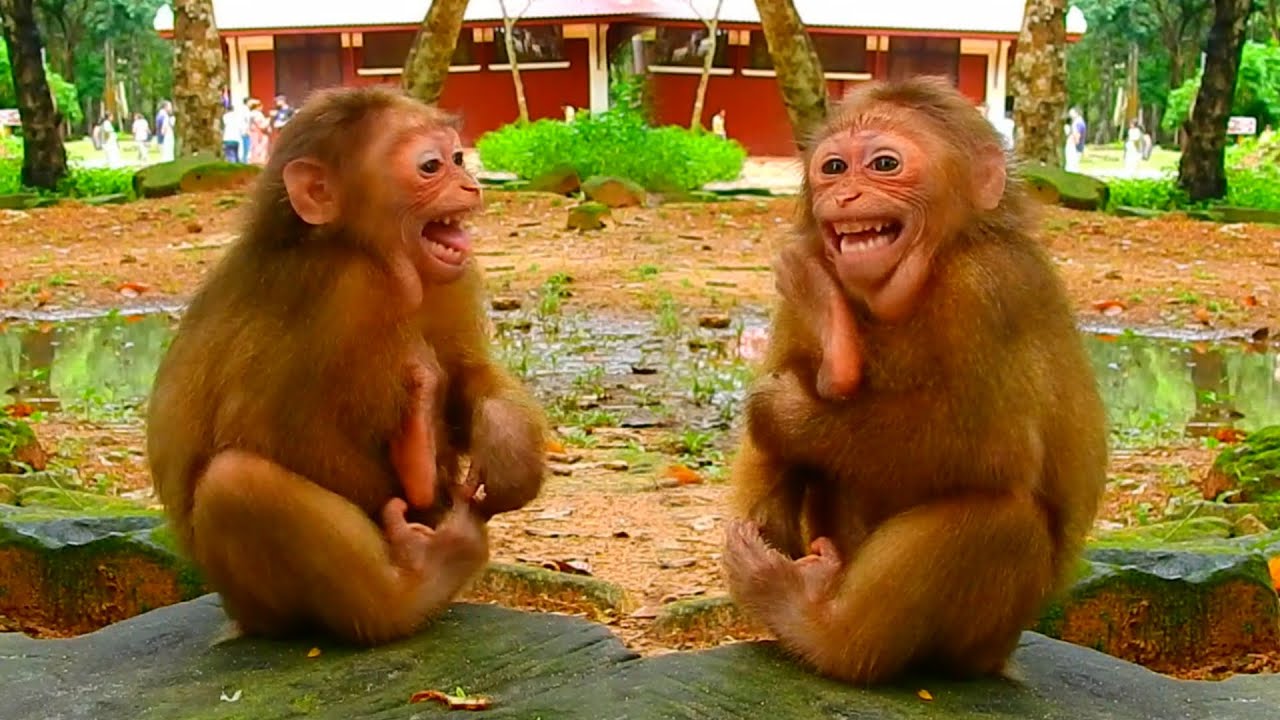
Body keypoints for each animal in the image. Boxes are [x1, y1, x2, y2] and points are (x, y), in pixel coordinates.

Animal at [145, 86, 548, 646]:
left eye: (458, 158)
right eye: (431, 166)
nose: (470, 184)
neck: (375, 256)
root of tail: (239, 616)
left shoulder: (448, 279)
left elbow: (466, 375)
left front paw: (509, 448)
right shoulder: (344, 286)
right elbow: (268, 430)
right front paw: (423, 491)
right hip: (260, 607)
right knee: (235, 482)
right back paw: (417, 581)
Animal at [721, 77, 1108, 684]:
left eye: (884, 164)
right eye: (834, 167)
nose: (846, 195)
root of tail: (999, 657)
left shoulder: (989, 288)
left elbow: (994, 447)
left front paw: (780, 409)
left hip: (982, 640)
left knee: (1000, 519)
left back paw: (817, 625)